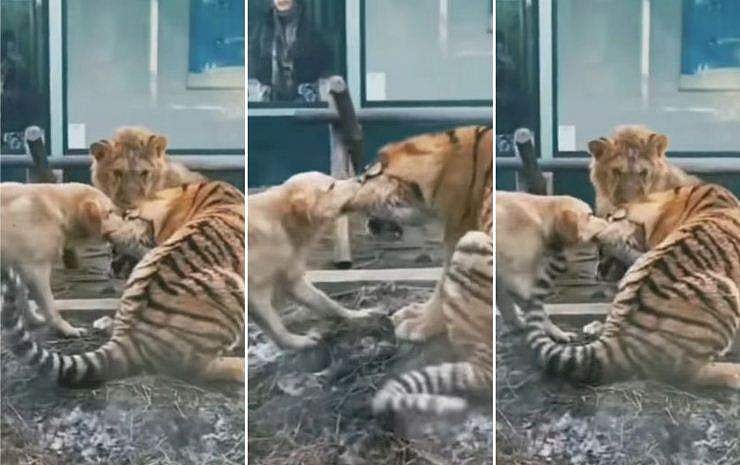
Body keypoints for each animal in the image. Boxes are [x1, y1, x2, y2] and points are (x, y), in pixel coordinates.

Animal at [1, 181, 245, 386]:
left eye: (126, 216)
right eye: (114, 213)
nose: (111, 237)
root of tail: (133, 333)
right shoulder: (34, 266)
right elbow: (47, 303)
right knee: (198, 368)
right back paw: (241, 367)